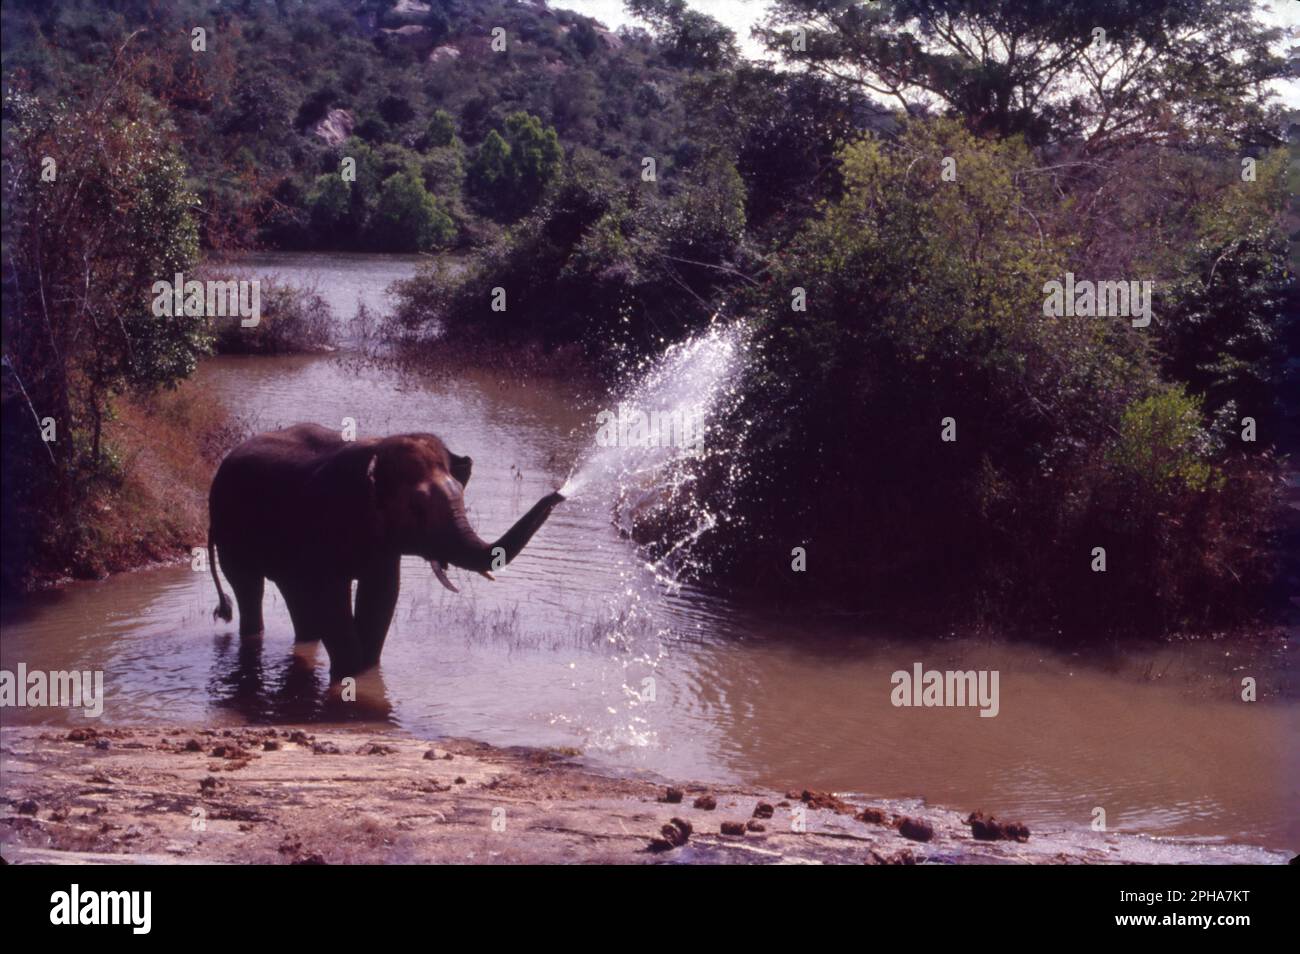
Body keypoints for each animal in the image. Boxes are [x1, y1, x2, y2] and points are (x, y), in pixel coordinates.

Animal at [207, 423, 563, 680]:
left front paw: (364, 673)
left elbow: (382, 595)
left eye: (461, 495)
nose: (559, 494)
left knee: (295, 596)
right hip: (228, 529)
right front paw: (350, 678)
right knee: (249, 589)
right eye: (417, 508)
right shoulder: (323, 520)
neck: (377, 451)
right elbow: (332, 597)